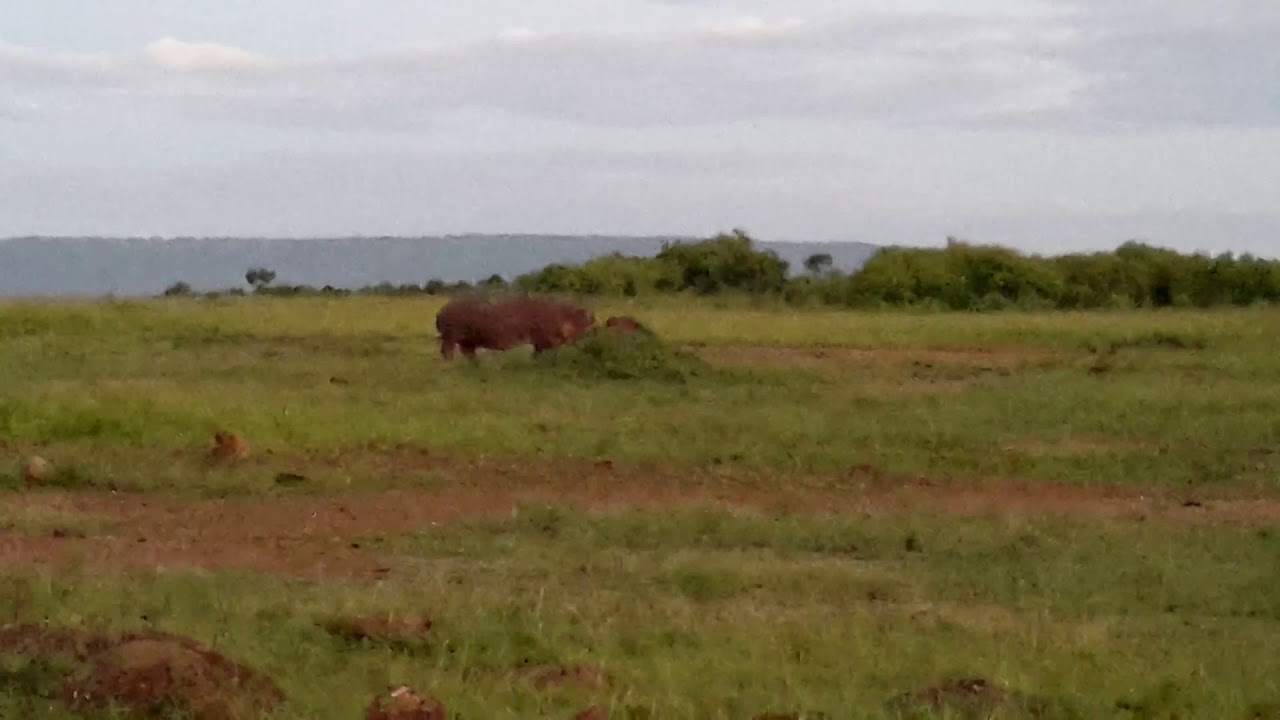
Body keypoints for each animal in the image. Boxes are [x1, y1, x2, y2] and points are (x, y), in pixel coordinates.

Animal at [436, 296, 596, 360]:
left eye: (584, 317)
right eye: (578, 316)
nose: (592, 318)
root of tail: (442, 310)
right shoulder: (543, 340)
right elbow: (540, 353)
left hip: (467, 341)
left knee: (467, 353)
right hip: (452, 337)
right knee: (447, 351)